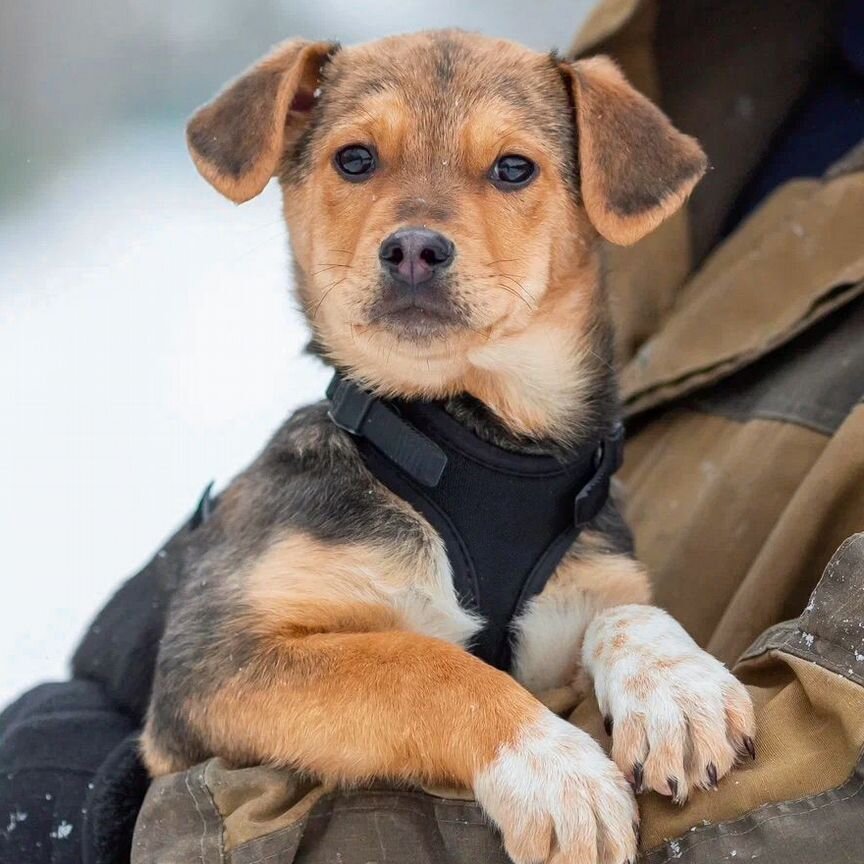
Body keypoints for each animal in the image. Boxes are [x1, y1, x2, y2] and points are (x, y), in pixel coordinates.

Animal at [145, 32, 752, 864]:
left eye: (514, 168)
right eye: (355, 159)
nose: (412, 250)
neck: (469, 434)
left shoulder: (573, 601)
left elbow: (627, 610)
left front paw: (679, 690)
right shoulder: (207, 666)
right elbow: (419, 663)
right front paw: (555, 769)